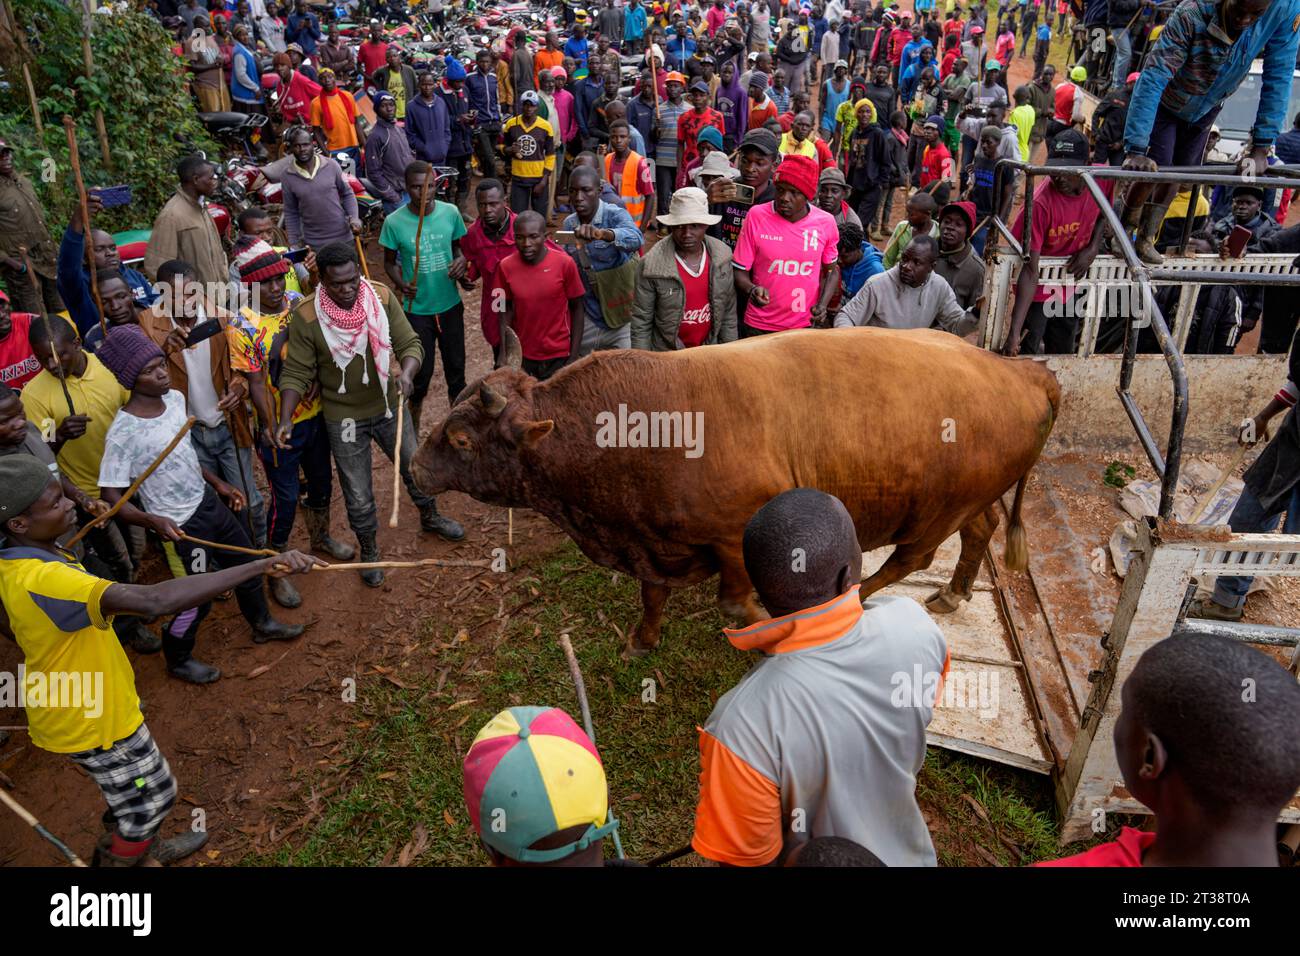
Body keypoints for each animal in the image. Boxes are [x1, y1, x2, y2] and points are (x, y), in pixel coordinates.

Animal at [412, 327, 1061, 657]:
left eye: (463, 438)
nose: (413, 468)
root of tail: (1022, 370)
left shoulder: (733, 535)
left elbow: (733, 604)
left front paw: (770, 630)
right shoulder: (651, 543)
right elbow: (652, 594)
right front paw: (642, 642)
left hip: (932, 515)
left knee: (910, 559)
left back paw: (861, 598)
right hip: (971, 501)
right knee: (979, 532)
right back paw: (953, 593)